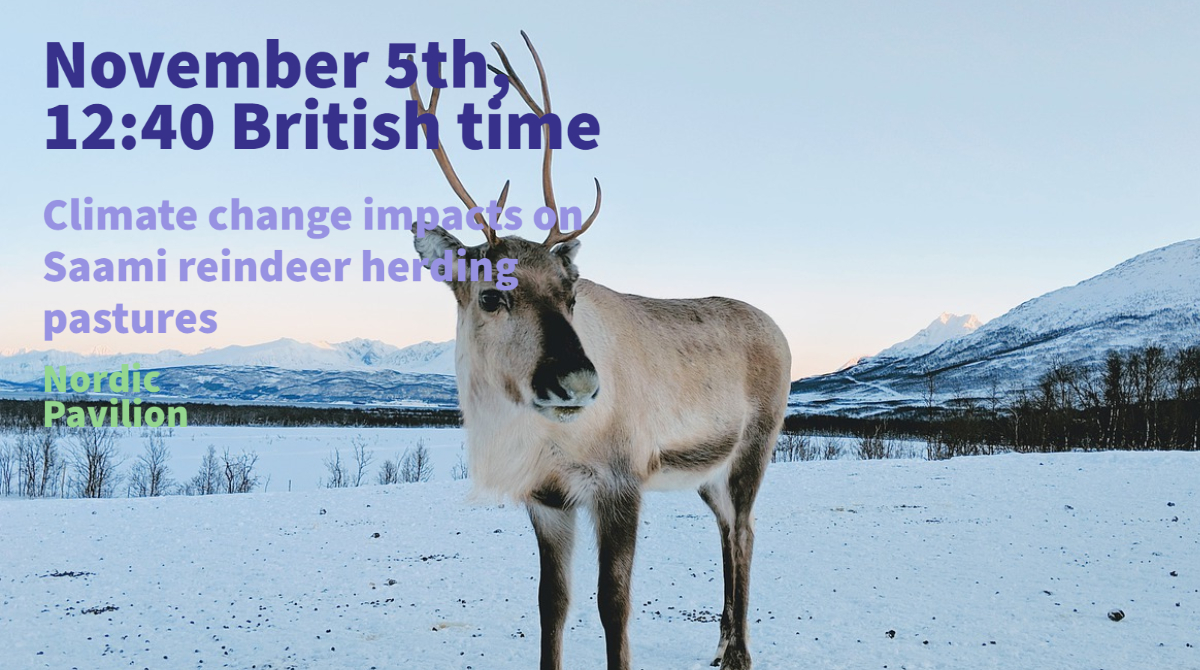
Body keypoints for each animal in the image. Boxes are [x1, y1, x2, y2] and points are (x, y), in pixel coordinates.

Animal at [405, 33, 791, 670]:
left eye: (571, 291)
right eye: (490, 294)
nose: (579, 382)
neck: (545, 442)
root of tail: (780, 331)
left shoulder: (620, 484)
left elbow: (614, 603)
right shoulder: (548, 500)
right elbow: (552, 603)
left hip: (754, 449)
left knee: (745, 531)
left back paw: (740, 652)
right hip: (707, 471)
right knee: (727, 528)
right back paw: (720, 643)